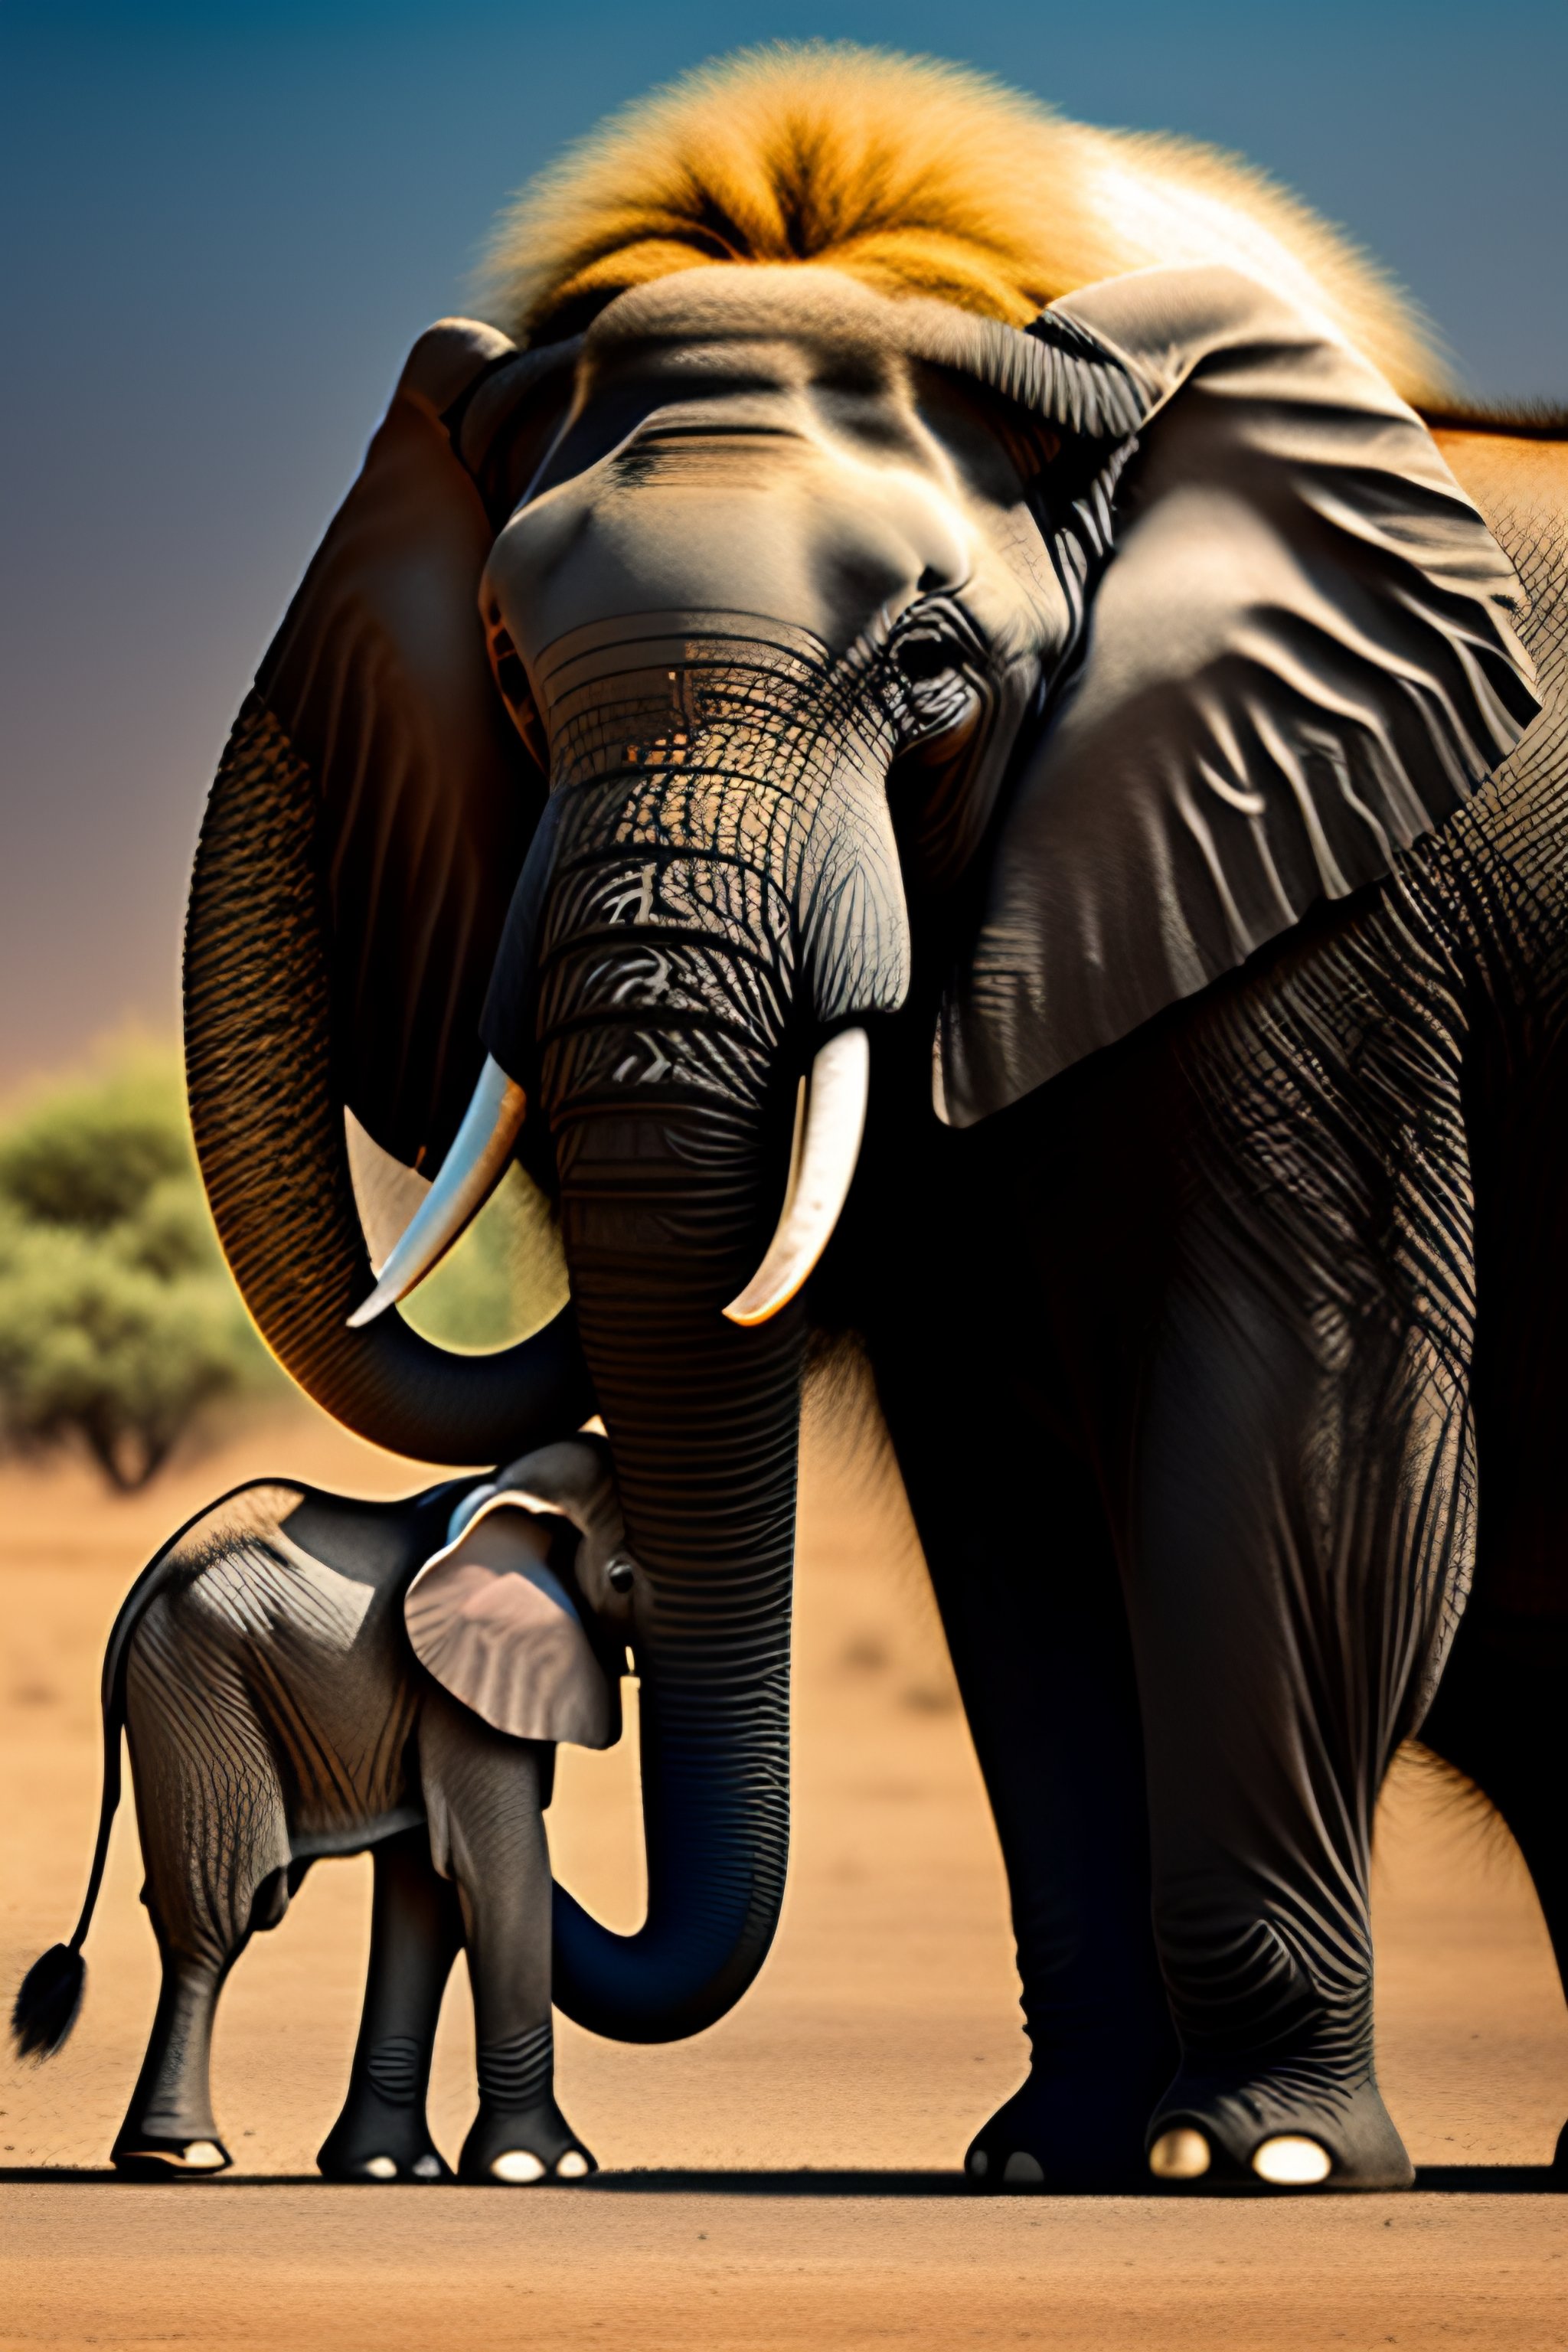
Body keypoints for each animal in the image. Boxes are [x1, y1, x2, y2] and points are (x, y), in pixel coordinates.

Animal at [12, 1438, 635, 2183]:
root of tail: (152, 1576)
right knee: (222, 1913)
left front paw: (386, 2168)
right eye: (624, 1579)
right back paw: (180, 2156)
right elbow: (492, 1862)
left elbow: (427, 1883)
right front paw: (541, 2167)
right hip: (197, 1680)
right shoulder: (457, 1694)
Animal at [173, 46, 1567, 2190]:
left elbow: (1295, 1439)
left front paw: (1250, 2159)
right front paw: (1054, 2158)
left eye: (927, 670)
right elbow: (1009, 1517)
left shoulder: (1331, 913)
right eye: (505, 671)